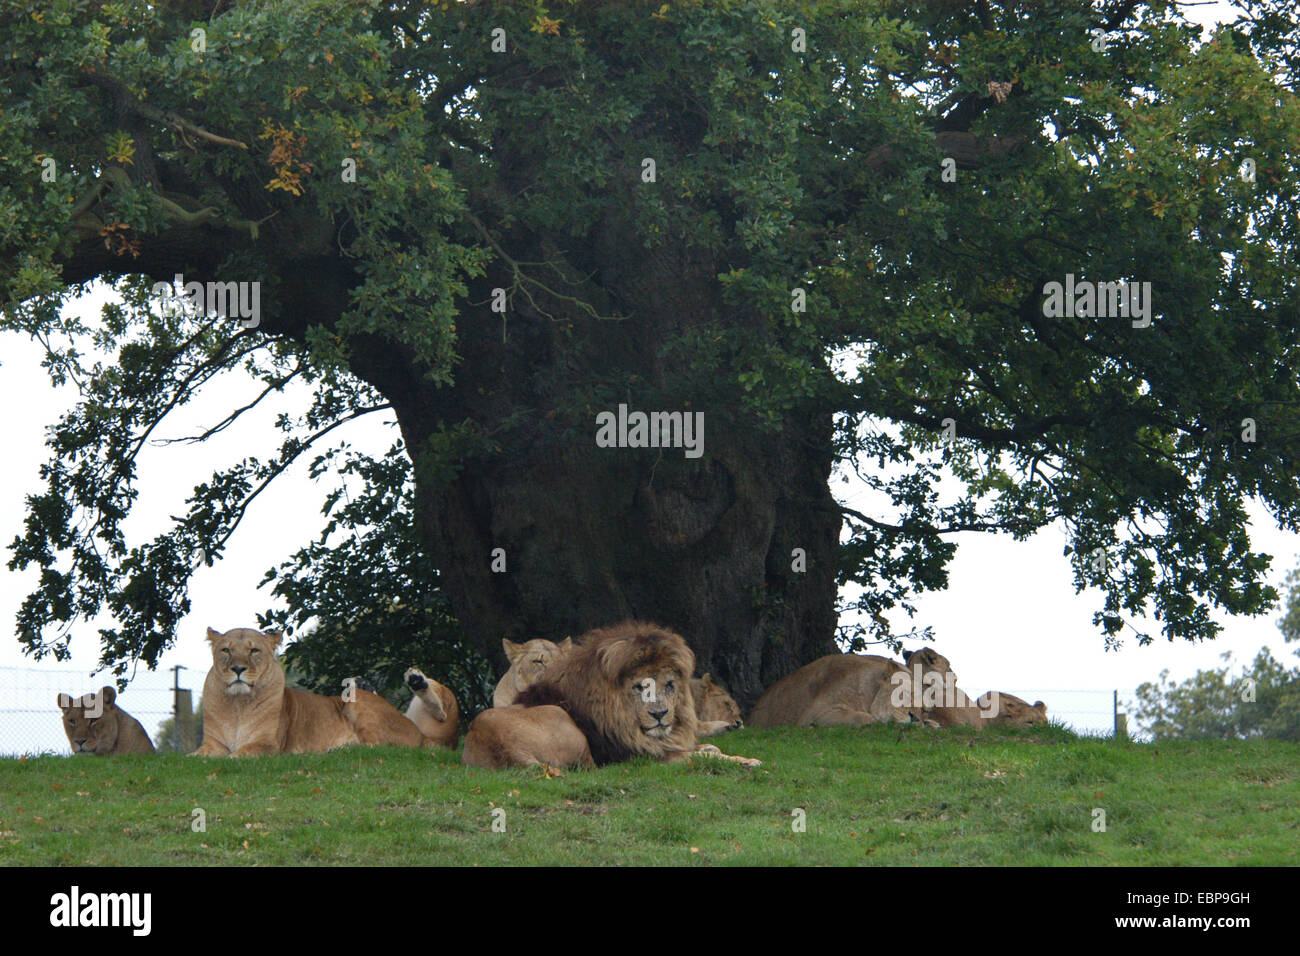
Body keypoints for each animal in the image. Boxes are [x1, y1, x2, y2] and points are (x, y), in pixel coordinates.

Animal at [193, 626, 451, 756]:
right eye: (226, 650)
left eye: (254, 650)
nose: (237, 669)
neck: (237, 705)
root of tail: (419, 733)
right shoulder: (213, 744)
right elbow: (196, 756)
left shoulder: (267, 744)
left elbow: (238, 754)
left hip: (357, 704)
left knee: (379, 745)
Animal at [514, 620, 759, 767]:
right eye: (640, 687)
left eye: (669, 684)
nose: (659, 714)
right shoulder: (643, 756)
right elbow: (706, 756)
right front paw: (747, 761)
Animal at [748, 648, 953, 728]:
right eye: (907, 693)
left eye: (924, 709)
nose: (915, 717)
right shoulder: (816, 714)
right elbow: (865, 718)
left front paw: (930, 723)